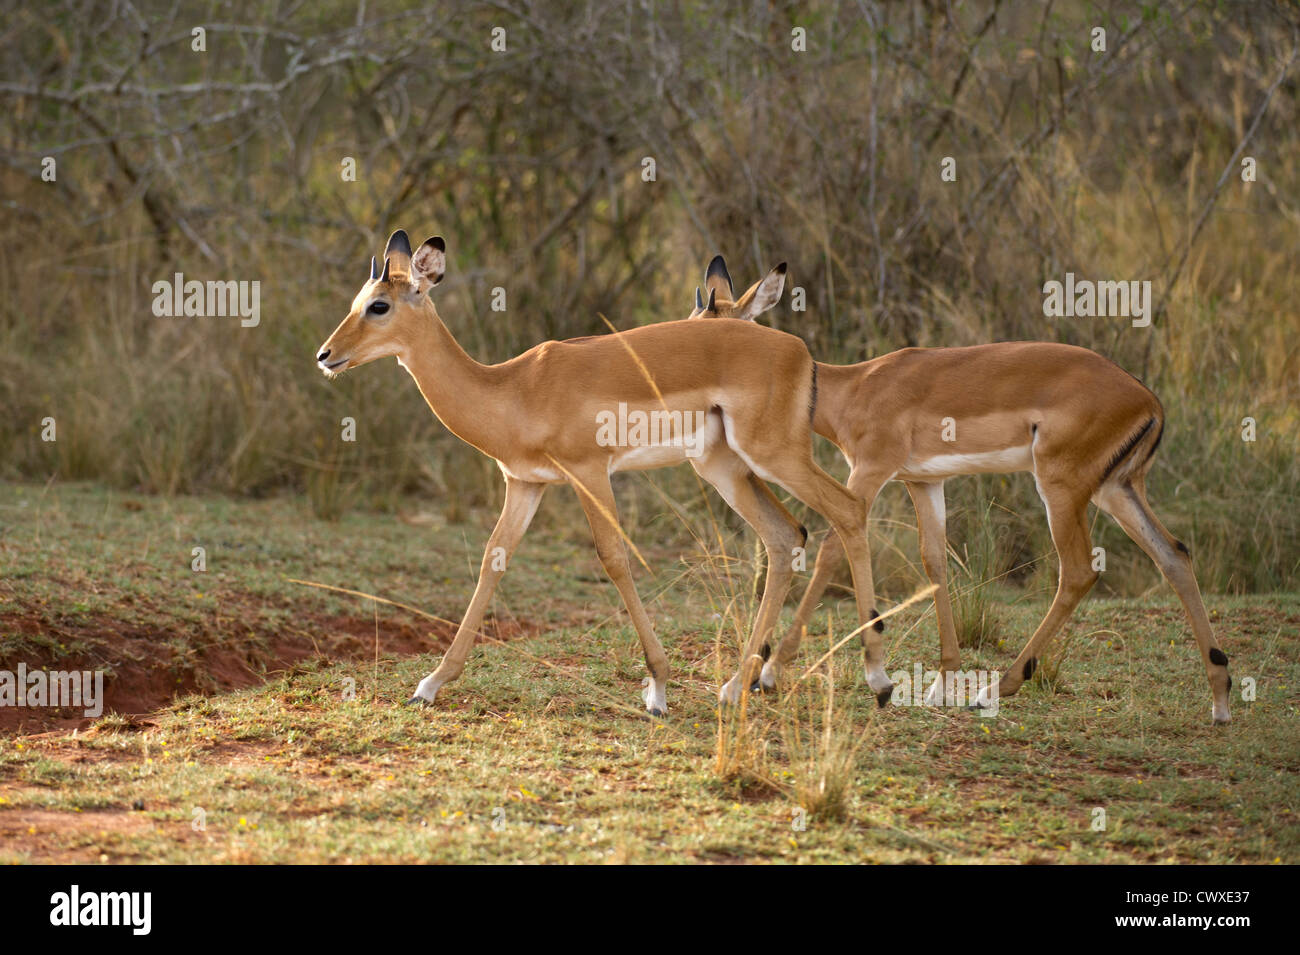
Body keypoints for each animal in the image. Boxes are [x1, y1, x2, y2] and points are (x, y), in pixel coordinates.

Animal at [314, 231, 896, 715]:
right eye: (356, 302)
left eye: (380, 305)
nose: (325, 355)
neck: (512, 389)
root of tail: (800, 351)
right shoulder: (525, 483)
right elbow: (493, 559)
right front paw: (431, 684)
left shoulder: (590, 473)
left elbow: (614, 558)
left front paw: (657, 689)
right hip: (723, 467)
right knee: (784, 535)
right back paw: (736, 687)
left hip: (775, 455)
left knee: (846, 510)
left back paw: (879, 680)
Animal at [687, 255, 1233, 724]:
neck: (849, 390)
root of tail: (1149, 400)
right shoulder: (925, 482)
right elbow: (935, 562)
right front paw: (941, 682)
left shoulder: (870, 471)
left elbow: (830, 548)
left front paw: (767, 676)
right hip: (1117, 490)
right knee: (1174, 555)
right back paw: (1220, 699)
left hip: (1061, 486)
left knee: (1079, 570)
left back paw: (996, 689)